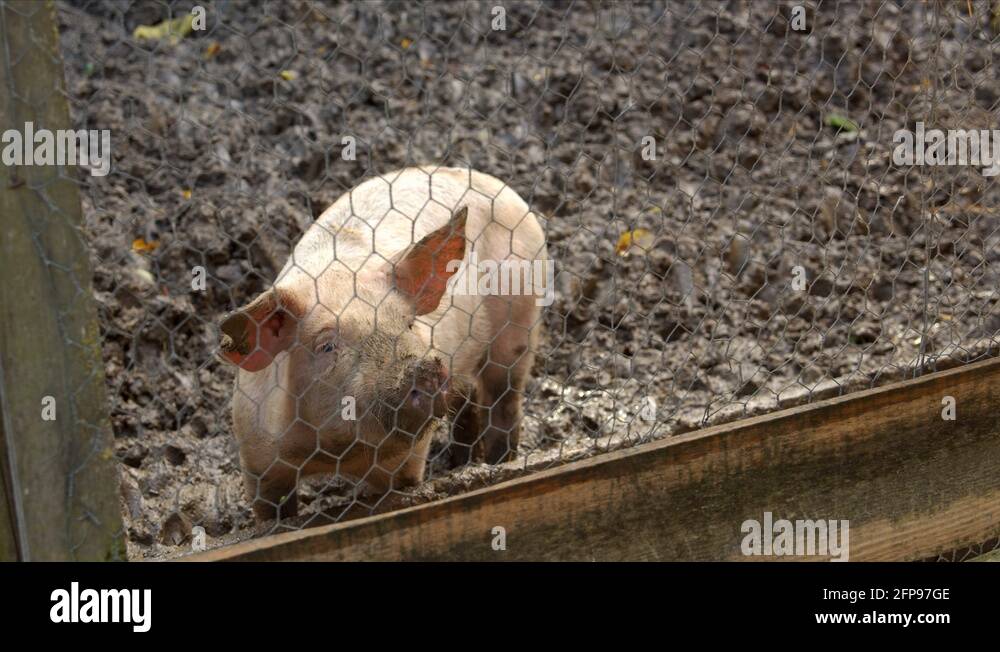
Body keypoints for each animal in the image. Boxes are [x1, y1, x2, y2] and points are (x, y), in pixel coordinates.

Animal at [218, 167, 548, 522]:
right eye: (327, 346)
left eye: (409, 324)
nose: (422, 367)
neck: (336, 455)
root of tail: (490, 181)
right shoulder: (256, 458)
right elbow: (272, 511)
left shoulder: (406, 459)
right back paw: (462, 465)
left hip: (521, 320)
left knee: (504, 401)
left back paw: (499, 463)